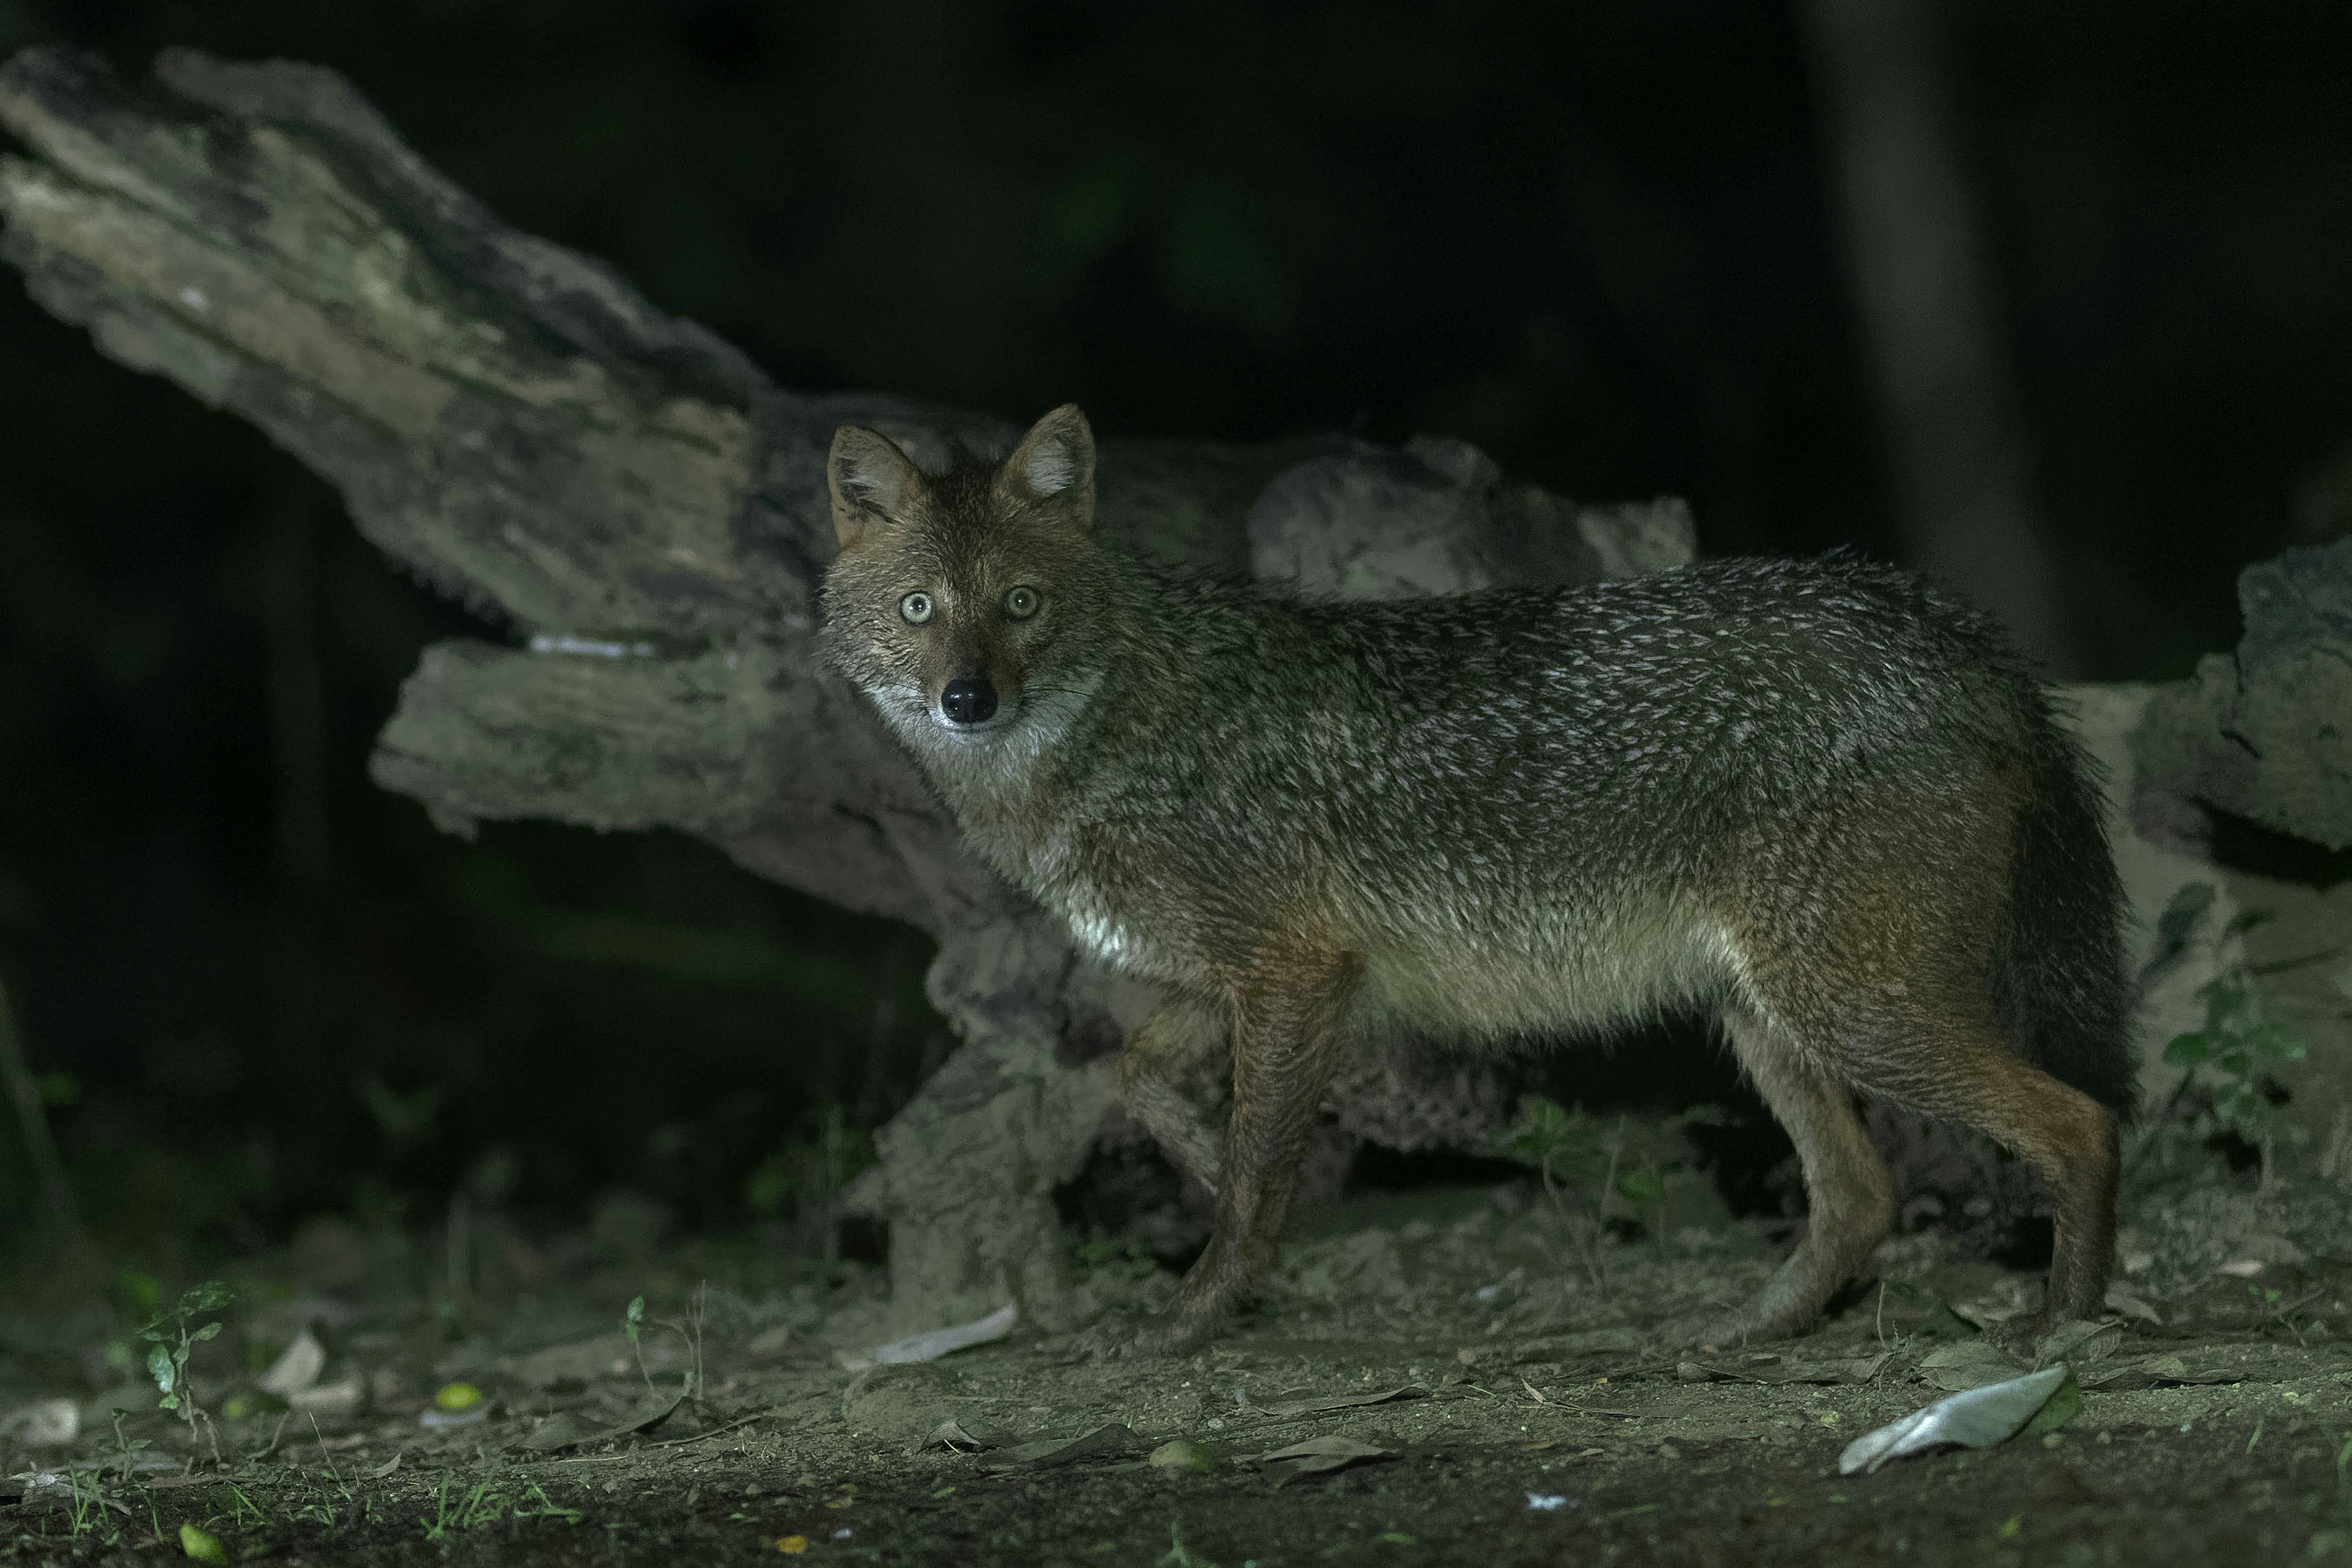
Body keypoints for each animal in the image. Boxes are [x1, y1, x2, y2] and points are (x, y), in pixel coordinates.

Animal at [818, 404, 2135, 1352]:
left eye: (1019, 605)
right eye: (919, 608)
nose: (967, 698)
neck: (1109, 735)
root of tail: (1937, 619)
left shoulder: (1296, 972)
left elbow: (1254, 1170)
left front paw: (1198, 1314)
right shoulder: (1219, 982)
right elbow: (1141, 1088)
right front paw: (1205, 1179)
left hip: (1851, 1011)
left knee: (2079, 1123)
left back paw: (2059, 1327)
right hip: (1767, 1020)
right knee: (1857, 1200)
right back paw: (1739, 1334)